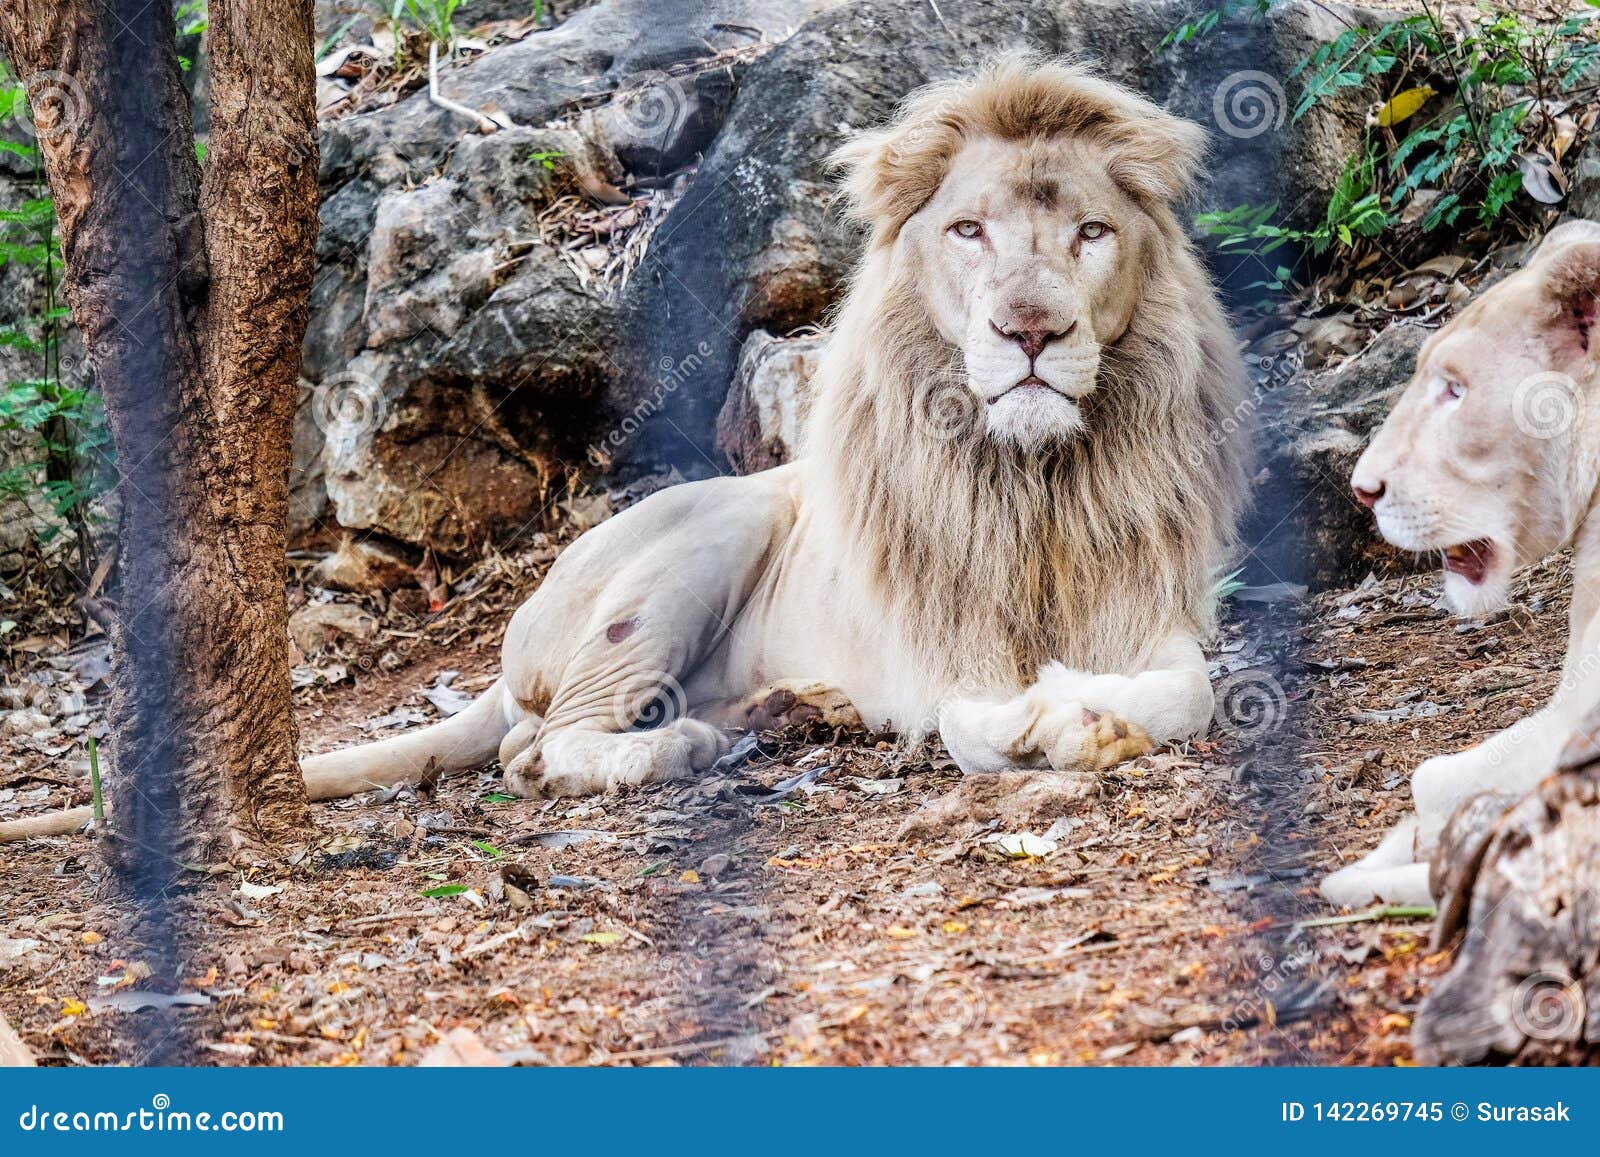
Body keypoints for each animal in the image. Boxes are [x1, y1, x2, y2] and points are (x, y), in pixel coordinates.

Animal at [294, 58, 1252, 806]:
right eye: (968, 231)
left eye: (1091, 233)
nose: (1030, 330)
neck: (1036, 475)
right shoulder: (934, 645)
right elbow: (966, 720)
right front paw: (1046, 716)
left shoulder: (1149, 606)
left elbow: (1194, 692)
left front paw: (1091, 713)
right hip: (719, 528)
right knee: (535, 748)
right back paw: (683, 745)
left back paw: (787, 710)